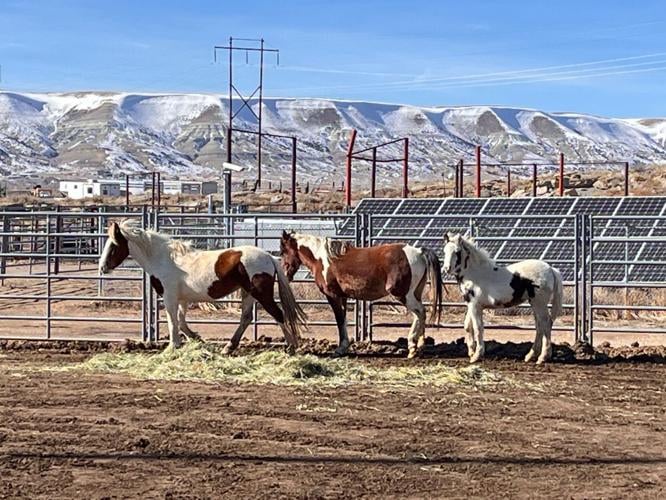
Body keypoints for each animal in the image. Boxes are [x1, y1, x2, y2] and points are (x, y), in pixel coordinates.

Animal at [98, 220, 307, 353]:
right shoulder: (182, 299)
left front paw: (173, 346)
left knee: (278, 315)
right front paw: (196, 338)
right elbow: (181, 321)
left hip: (261, 294)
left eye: (114, 246)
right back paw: (228, 348)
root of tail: (269, 257)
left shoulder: (169, 297)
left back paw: (291, 347)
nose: (102, 267)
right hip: (247, 293)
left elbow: (172, 321)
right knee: (246, 318)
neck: (164, 259)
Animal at [279, 231, 444, 358]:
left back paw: (413, 347)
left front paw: (340, 349)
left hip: (402, 294)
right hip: (414, 293)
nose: (285, 273)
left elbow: (339, 320)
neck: (322, 260)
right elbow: (343, 319)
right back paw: (419, 346)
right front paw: (344, 346)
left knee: (420, 312)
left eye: (283, 251)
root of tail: (419, 252)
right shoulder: (343, 297)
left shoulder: (332, 296)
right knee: (420, 313)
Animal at [441, 233, 563, 364]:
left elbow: (478, 328)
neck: (475, 274)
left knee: (545, 323)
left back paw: (543, 357)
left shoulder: (475, 305)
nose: (446, 269)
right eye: (444, 251)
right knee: (540, 325)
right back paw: (531, 355)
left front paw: (477, 355)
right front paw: (471, 352)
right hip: (535, 303)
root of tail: (551, 269)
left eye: (457, 252)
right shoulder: (470, 304)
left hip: (539, 303)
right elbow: (468, 326)